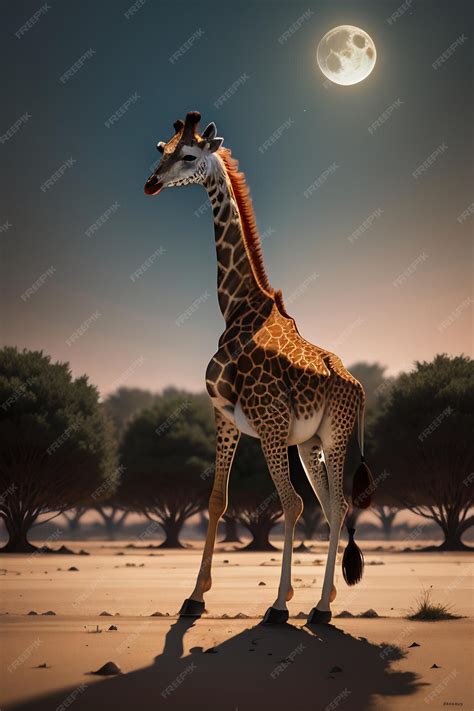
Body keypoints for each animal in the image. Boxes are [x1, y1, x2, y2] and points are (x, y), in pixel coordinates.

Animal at [144, 111, 374, 625]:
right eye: (162, 148)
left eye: (188, 155)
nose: (151, 184)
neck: (238, 305)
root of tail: (346, 384)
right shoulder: (254, 426)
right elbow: (224, 500)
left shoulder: (222, 413)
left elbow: (218, 500)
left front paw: (195, 598)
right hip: (318, 440)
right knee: (333, 505)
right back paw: (323, 605)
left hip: (283, 434)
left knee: (297, 503)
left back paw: (283, 606)